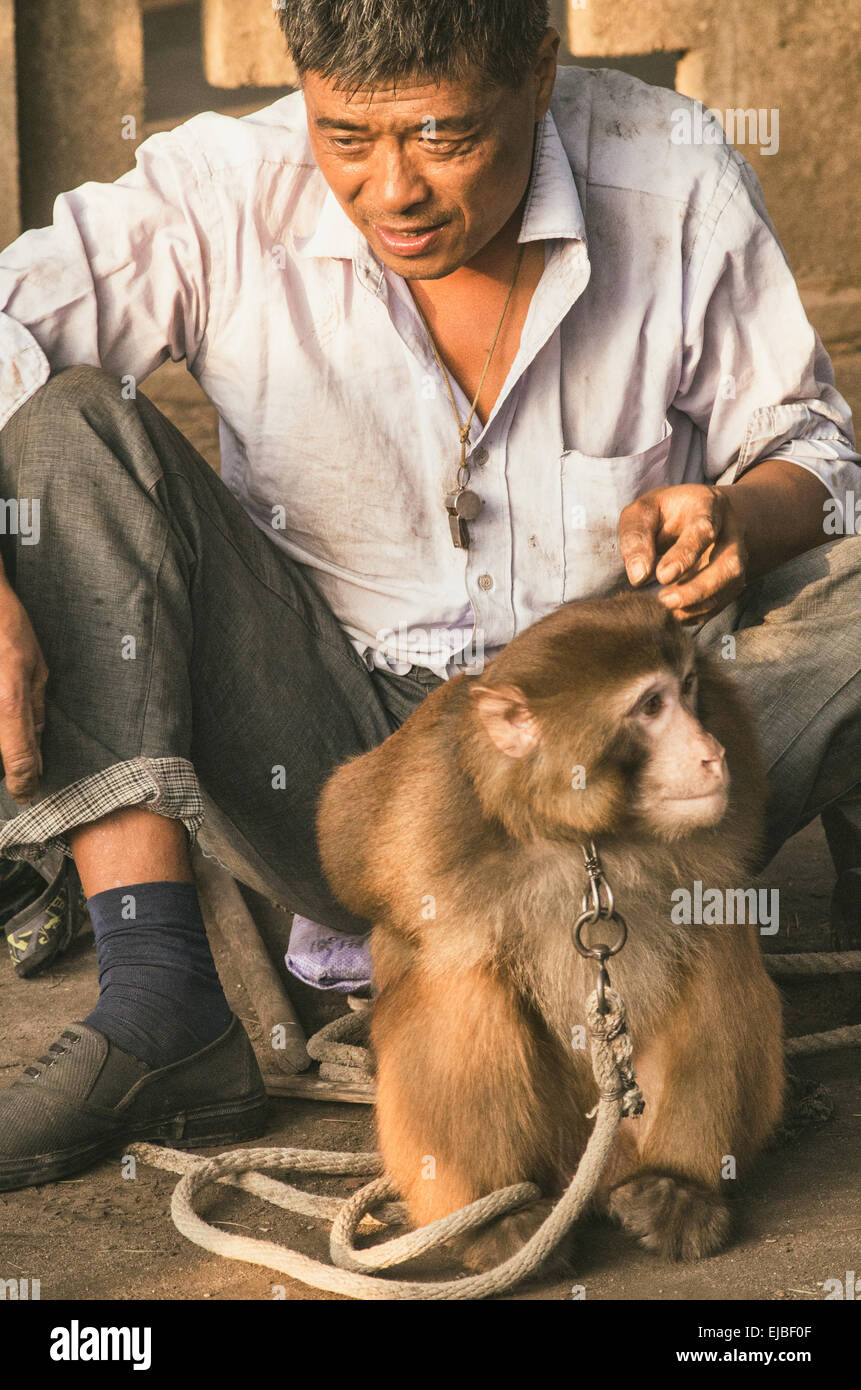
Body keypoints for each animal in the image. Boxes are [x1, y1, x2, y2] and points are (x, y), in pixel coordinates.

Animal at [316, 593, 785, 1272]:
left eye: (689, 687)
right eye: (650, 705)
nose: (711, 753)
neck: (581, 836)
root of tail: (597, 1173)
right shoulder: (421, 799)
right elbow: (343, 834)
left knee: (715, 939)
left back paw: (680, 1184)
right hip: (562, 1144)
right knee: (461, 972)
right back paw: (499, 1216)